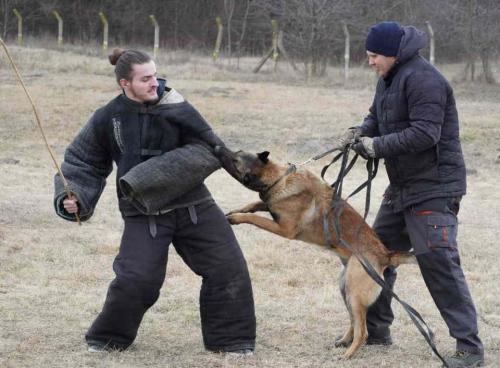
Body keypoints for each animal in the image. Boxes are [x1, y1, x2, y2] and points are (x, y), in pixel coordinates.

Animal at [217, 147, 412, 360]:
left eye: (235, 158)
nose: (217, 148)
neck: (279, 179)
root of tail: (384, 254)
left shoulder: (284, 229)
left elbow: (254, 217)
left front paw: (236, 217)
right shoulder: (270, 205)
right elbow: (255, 204)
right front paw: (237, 210)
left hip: (354, 292)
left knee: (363, 331)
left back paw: (348, 354)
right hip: (345, 289)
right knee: (354, 321)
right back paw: (343, 341)